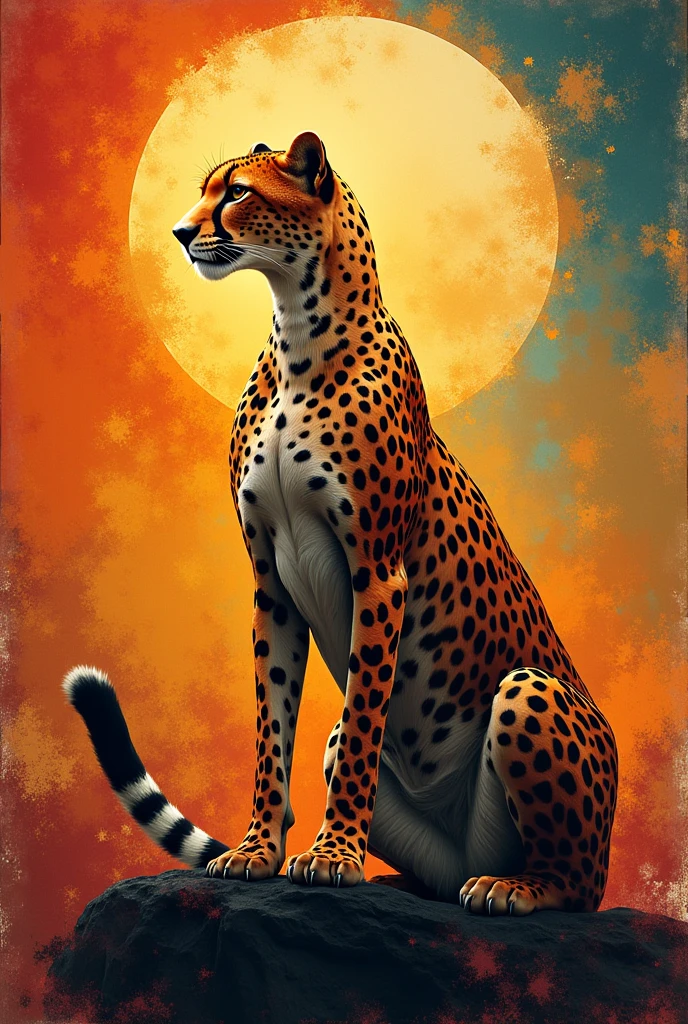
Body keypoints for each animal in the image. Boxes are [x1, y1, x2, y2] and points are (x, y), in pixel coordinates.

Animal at [64, 132, 617, 915]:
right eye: (206, 189)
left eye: (237, 193)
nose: (178, 233)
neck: (297, 337)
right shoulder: (269, 583)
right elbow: (272, 727)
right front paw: (257, 850)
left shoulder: (379, 574)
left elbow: (362, 722)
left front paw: (332, 856)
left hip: (528, 690)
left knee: (576, 881)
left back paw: (515, 885)